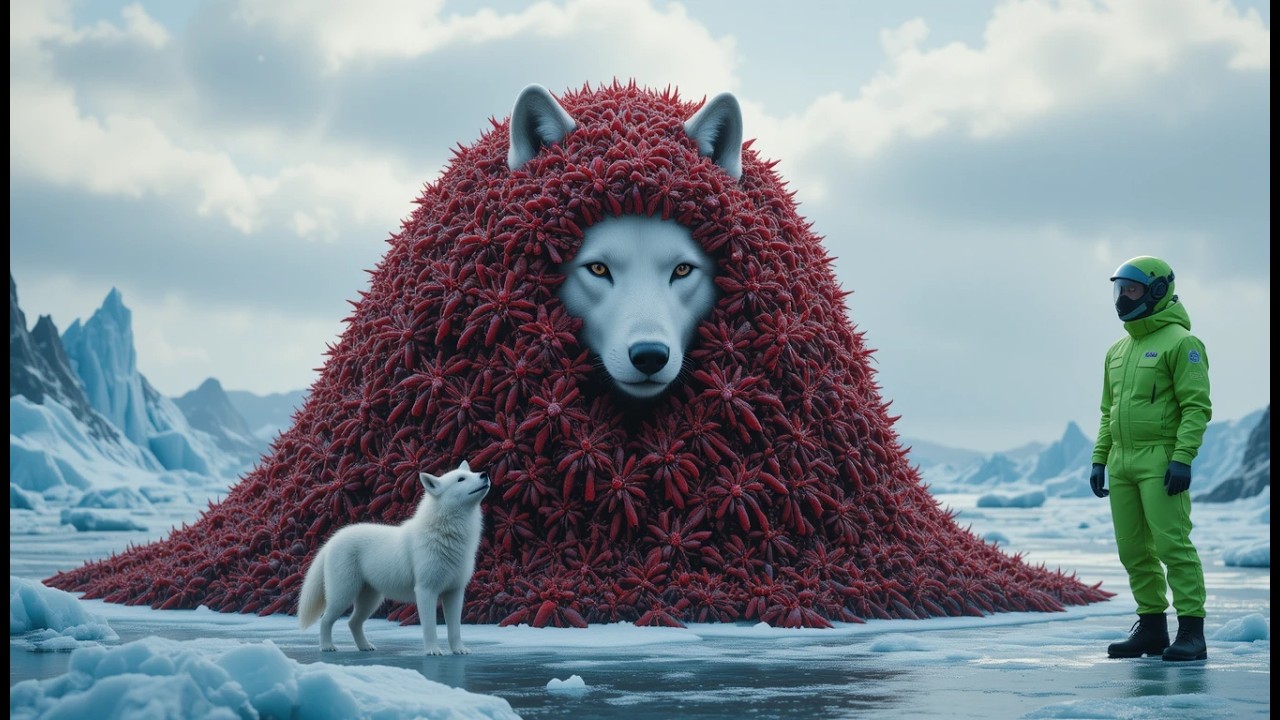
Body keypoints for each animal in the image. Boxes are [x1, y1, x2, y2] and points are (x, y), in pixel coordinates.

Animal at [298, 460, 490, 655]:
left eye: (472, 473)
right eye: (461, 479)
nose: (485, 474)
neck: (446, 533)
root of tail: (332, 540)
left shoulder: (455, 592)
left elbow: (455, 629)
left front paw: (459, 650)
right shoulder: (426, 590)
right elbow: (430, 628)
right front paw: (433, 650)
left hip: (370, 599)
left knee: (352, 622)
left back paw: (365, 646)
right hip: (343, 595)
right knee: (325, 620)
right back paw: (327, 646)